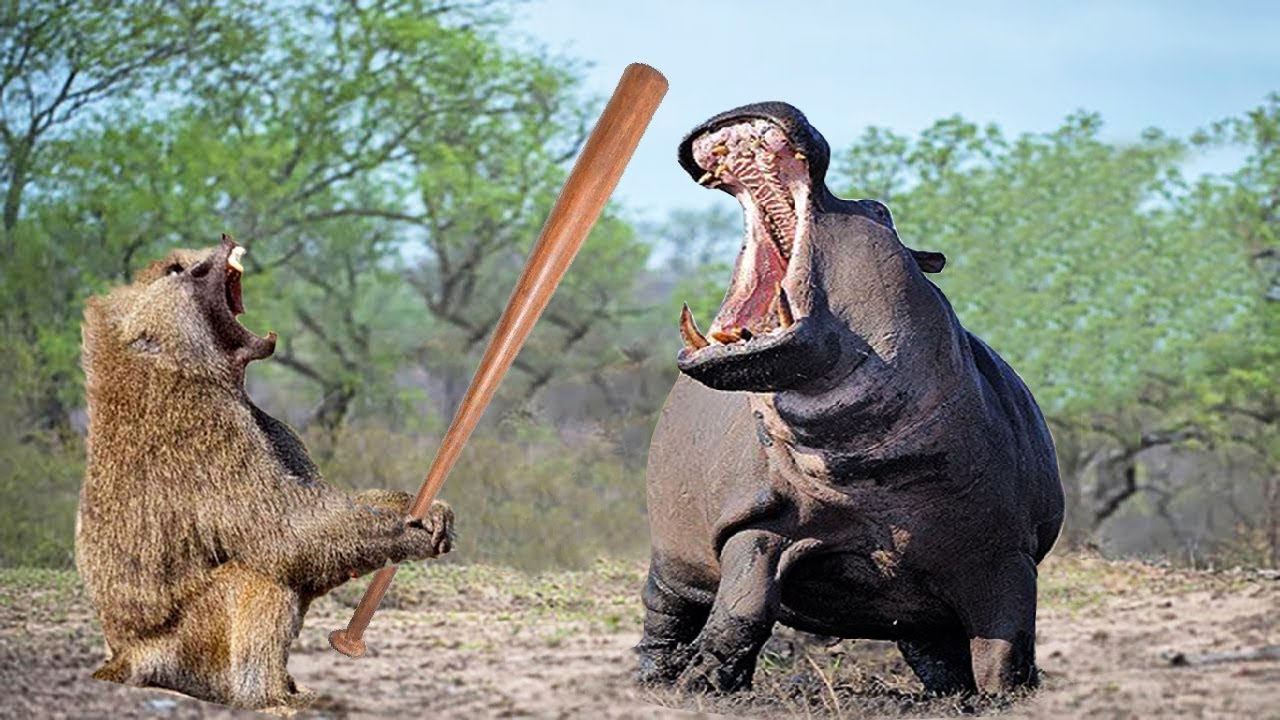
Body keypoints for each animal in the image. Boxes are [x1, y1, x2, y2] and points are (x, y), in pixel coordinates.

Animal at [637, 103, 1065, 696]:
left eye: (881, 211)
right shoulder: (759, 523)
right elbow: (743, 608)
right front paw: (703, 683)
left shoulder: (1006, 554)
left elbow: (1006, 649)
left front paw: (1007, 698)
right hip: (672, 561)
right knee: (665, 617)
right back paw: (657, 680)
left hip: (921, 609)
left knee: (938, 653)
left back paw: (948, 699)